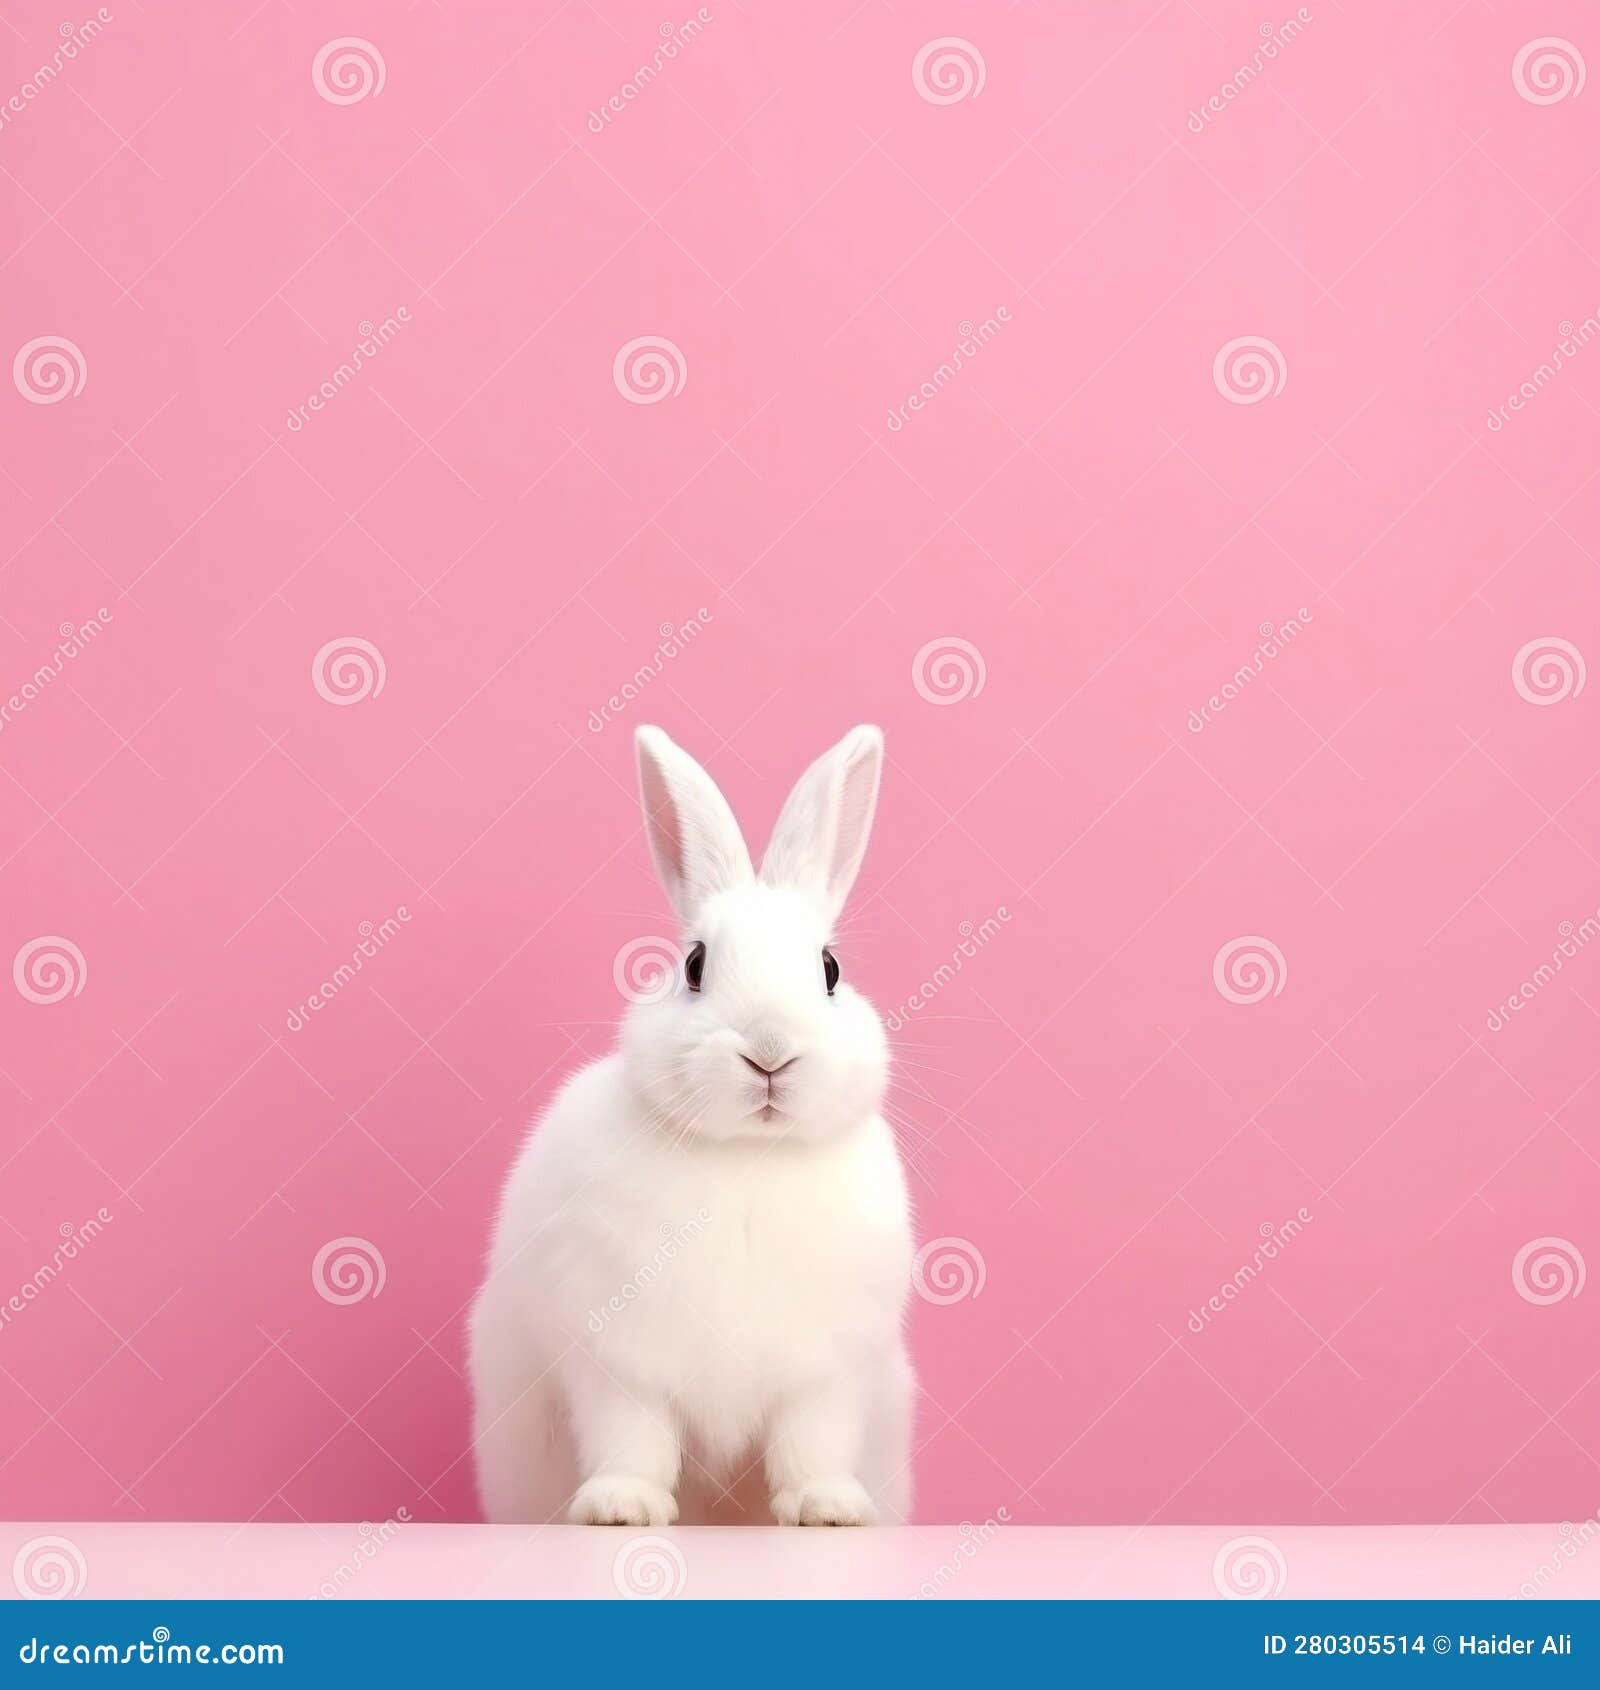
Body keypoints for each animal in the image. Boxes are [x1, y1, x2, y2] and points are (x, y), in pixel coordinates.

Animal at [467, 723, 915, 1527]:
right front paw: (620, 1508)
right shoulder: (617, 1362)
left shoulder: (826, 1376)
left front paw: (829, 1509)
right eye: (694, 966)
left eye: (830, 970)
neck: (748, 1154)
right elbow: (633, 1439)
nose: (769, 1051)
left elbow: (812, 1444)